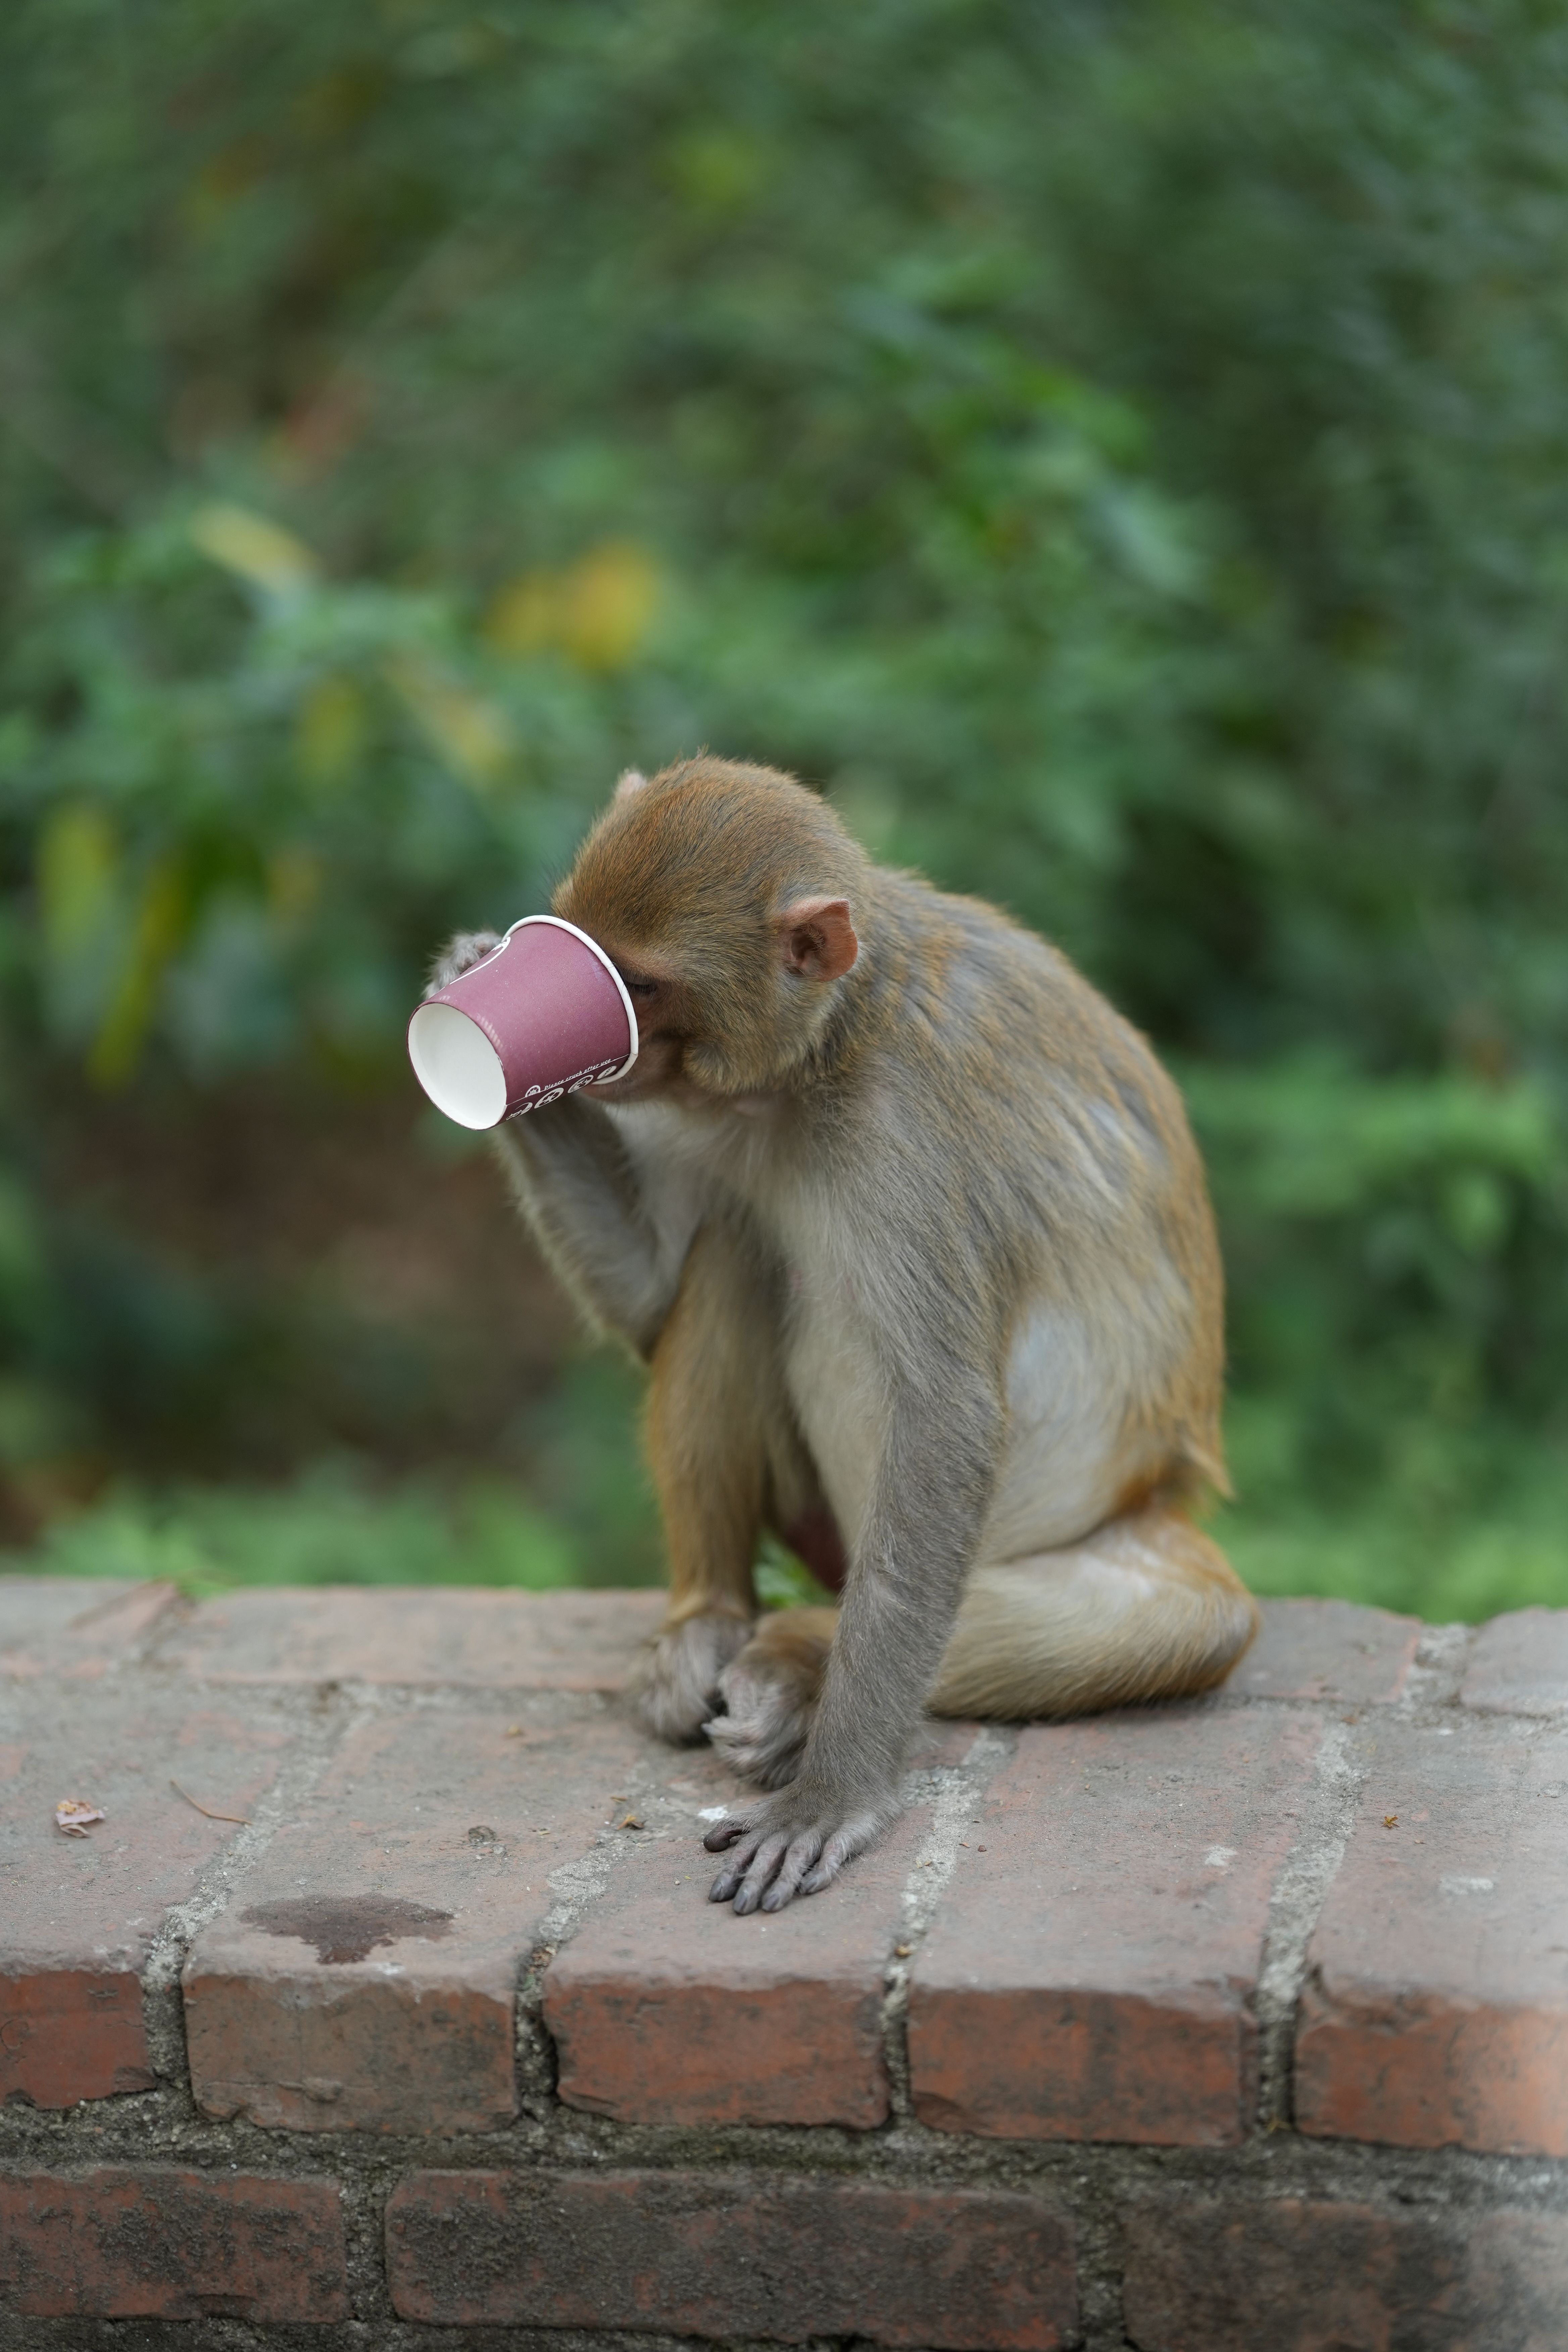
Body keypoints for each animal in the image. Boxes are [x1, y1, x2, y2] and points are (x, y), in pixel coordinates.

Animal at [430, 755, 1258, 1915]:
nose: (608, 1049)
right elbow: (650, 1296)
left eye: (644, 985)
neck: (822, 1050)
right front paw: (470, 981)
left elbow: (946, 1416)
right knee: (733, 1254)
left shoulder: (909, 1131)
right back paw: (712, 1618)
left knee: (1186, 1626)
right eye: (594, 958)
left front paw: (836, 1793)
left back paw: (795, 1664)